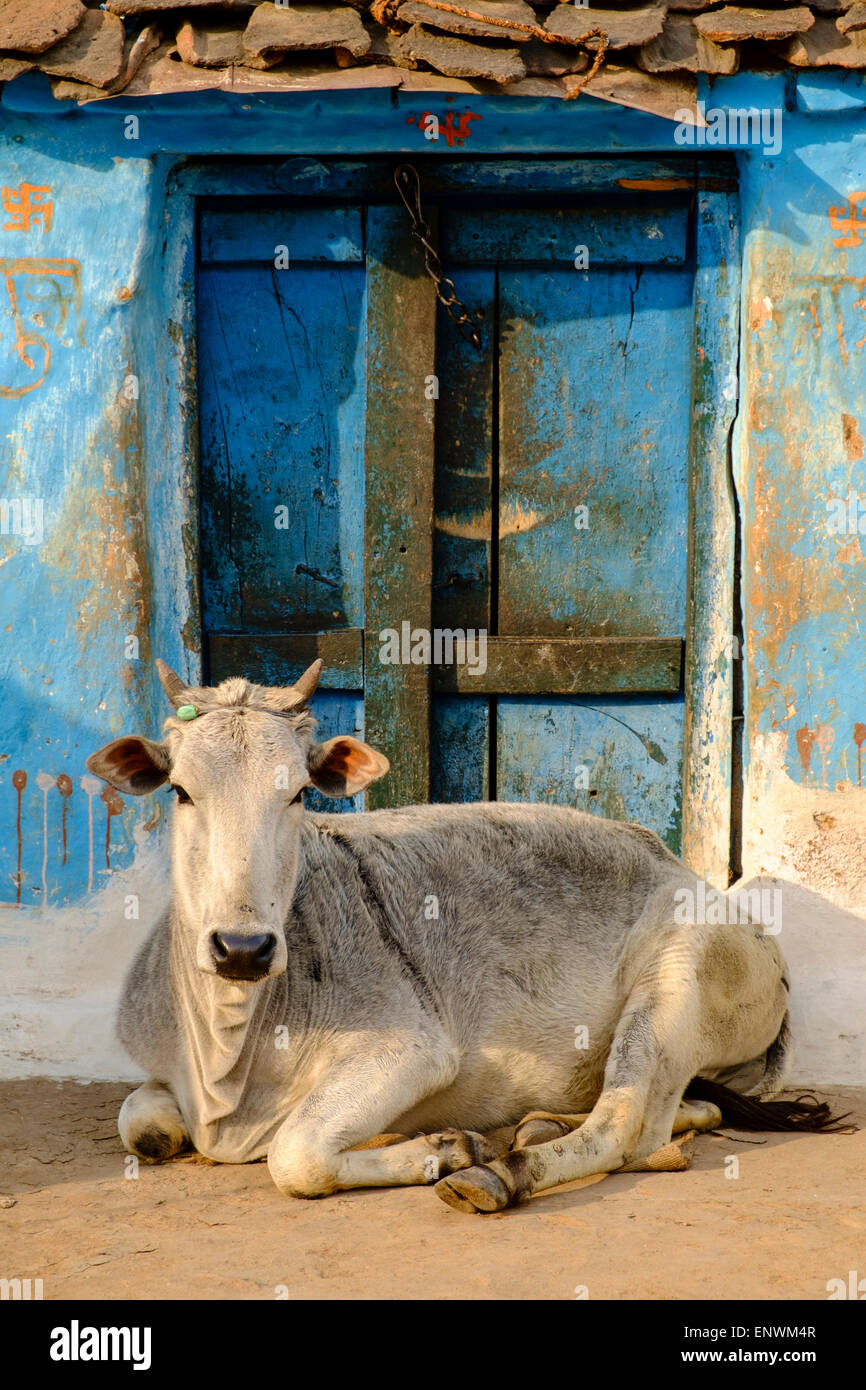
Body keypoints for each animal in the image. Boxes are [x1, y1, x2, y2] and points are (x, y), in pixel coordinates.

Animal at [86, 659, 840, 1214]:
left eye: (299, 792)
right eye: (180, 792)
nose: (242, 949)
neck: (229, 1055)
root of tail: (703, 882)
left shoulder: (411, 1051)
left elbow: (295, 1156)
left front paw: (450, 1149)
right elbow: (140, 1123)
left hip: (676, 984)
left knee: (625, 1124)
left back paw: (501, 1171)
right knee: (683, 1111)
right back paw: (539, 1125)